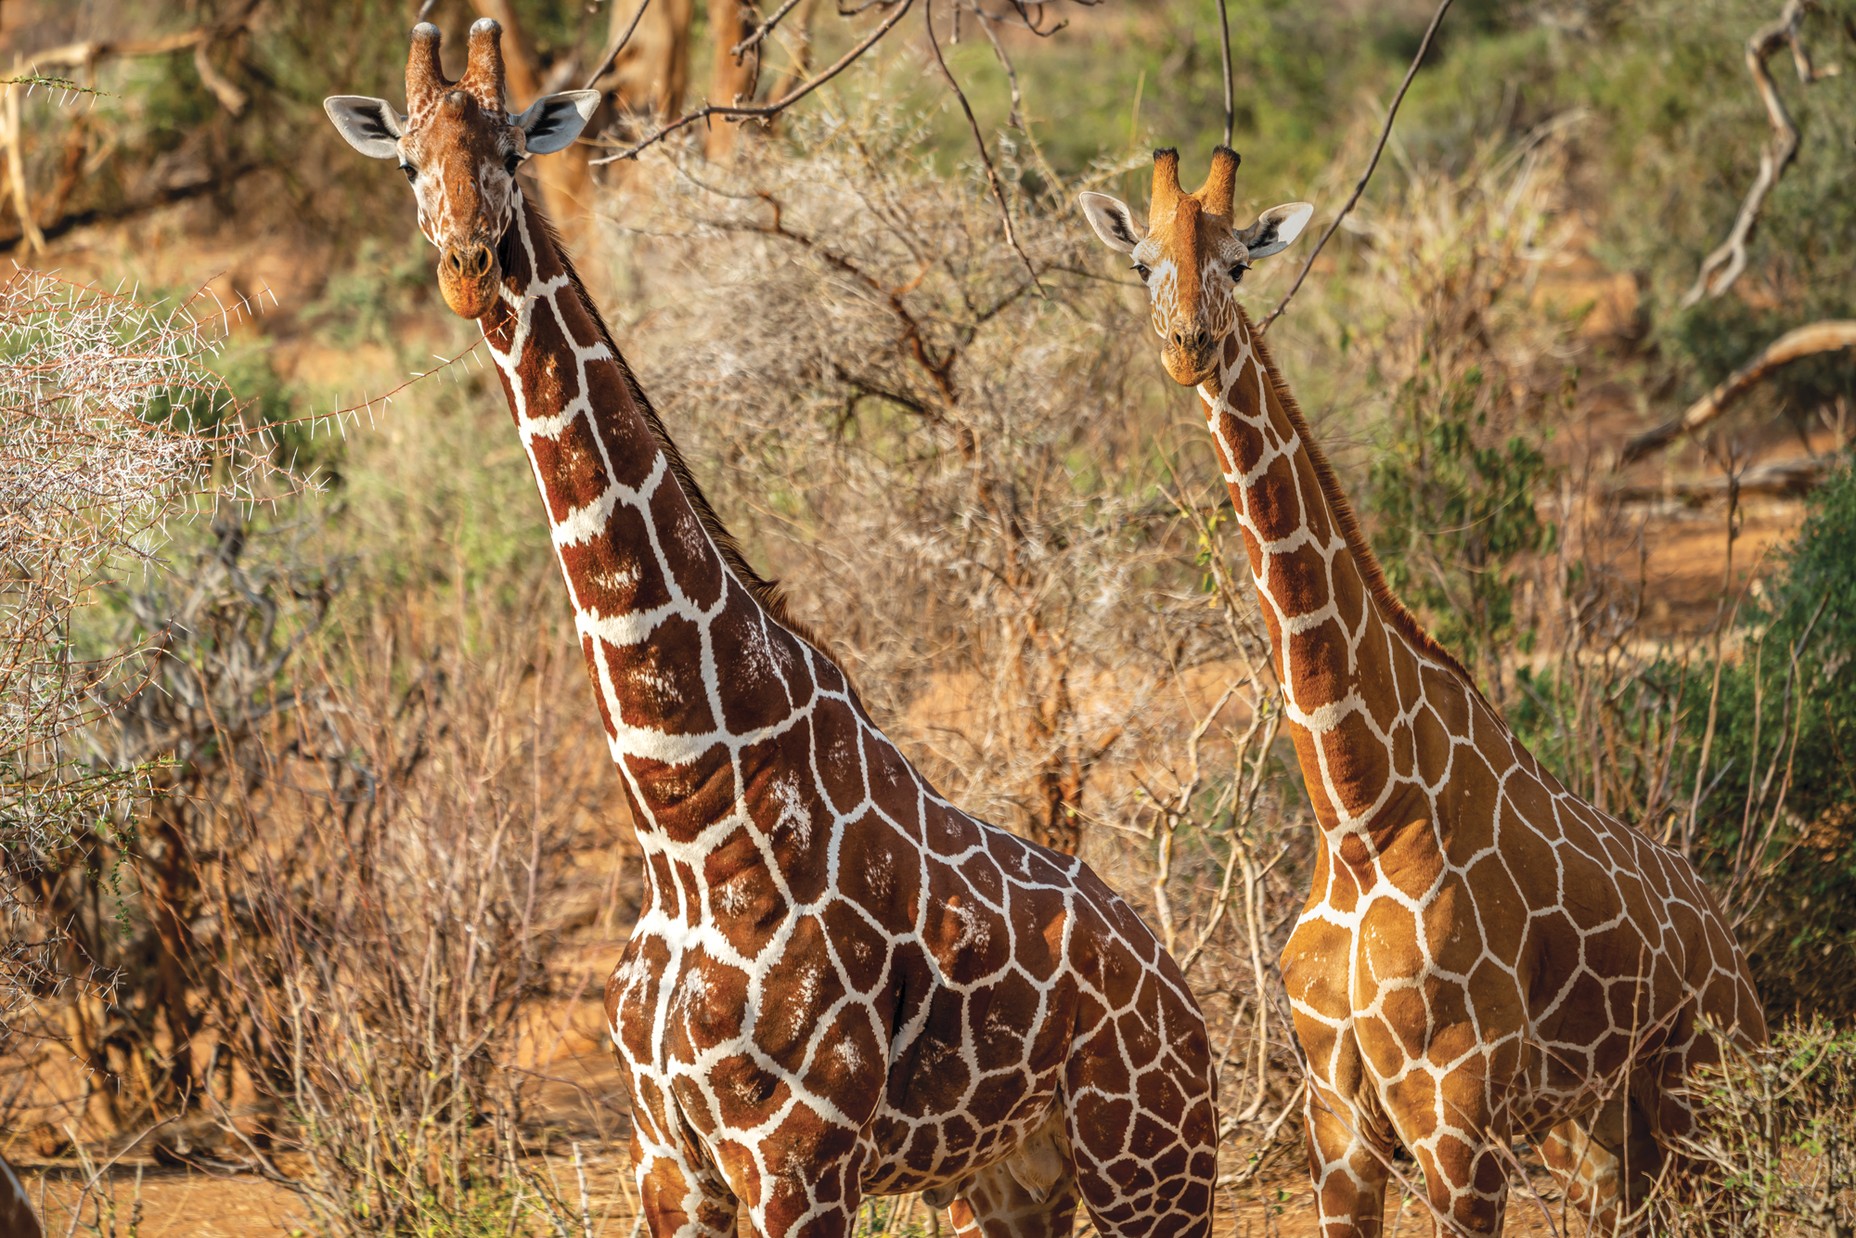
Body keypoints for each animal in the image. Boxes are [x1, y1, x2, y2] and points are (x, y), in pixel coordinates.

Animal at [324, 24, 1219, 1238]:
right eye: (410, 164)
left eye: (512, 151)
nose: (467, 264)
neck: (686, 822)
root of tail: (1185, 991)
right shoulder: (668, 1159)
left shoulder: (796, 1160)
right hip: (1004, 1183)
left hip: (1153, 1166)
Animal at [1080, 148, 1767, 1235]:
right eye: (1143, 262)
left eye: (1238, 264)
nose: (1189, 344)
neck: (1360, 810)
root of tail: (1723, 934)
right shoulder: (1336, 1116)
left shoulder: (1454, 1113)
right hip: (1594, 1129)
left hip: (1709, 1087)